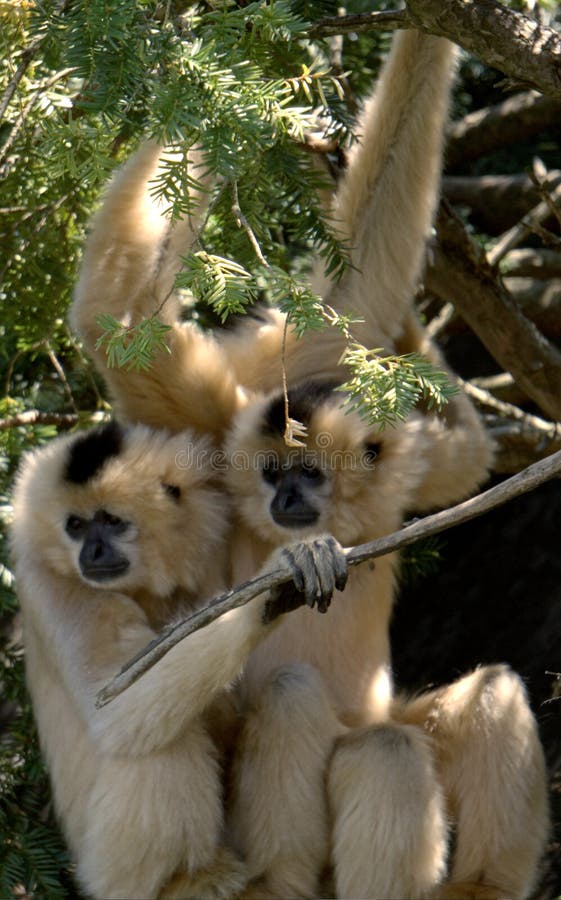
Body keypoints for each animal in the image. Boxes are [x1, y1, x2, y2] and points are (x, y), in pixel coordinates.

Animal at [10, 419, 349, 900]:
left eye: (111, 522)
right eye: (74, 526)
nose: (91, 553)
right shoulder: (51, 582)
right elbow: (116, 707)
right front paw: (269, 591)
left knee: (292, 688)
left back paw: (279, 882)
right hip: (108, 868)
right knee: (159, 735)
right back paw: (187, 881)